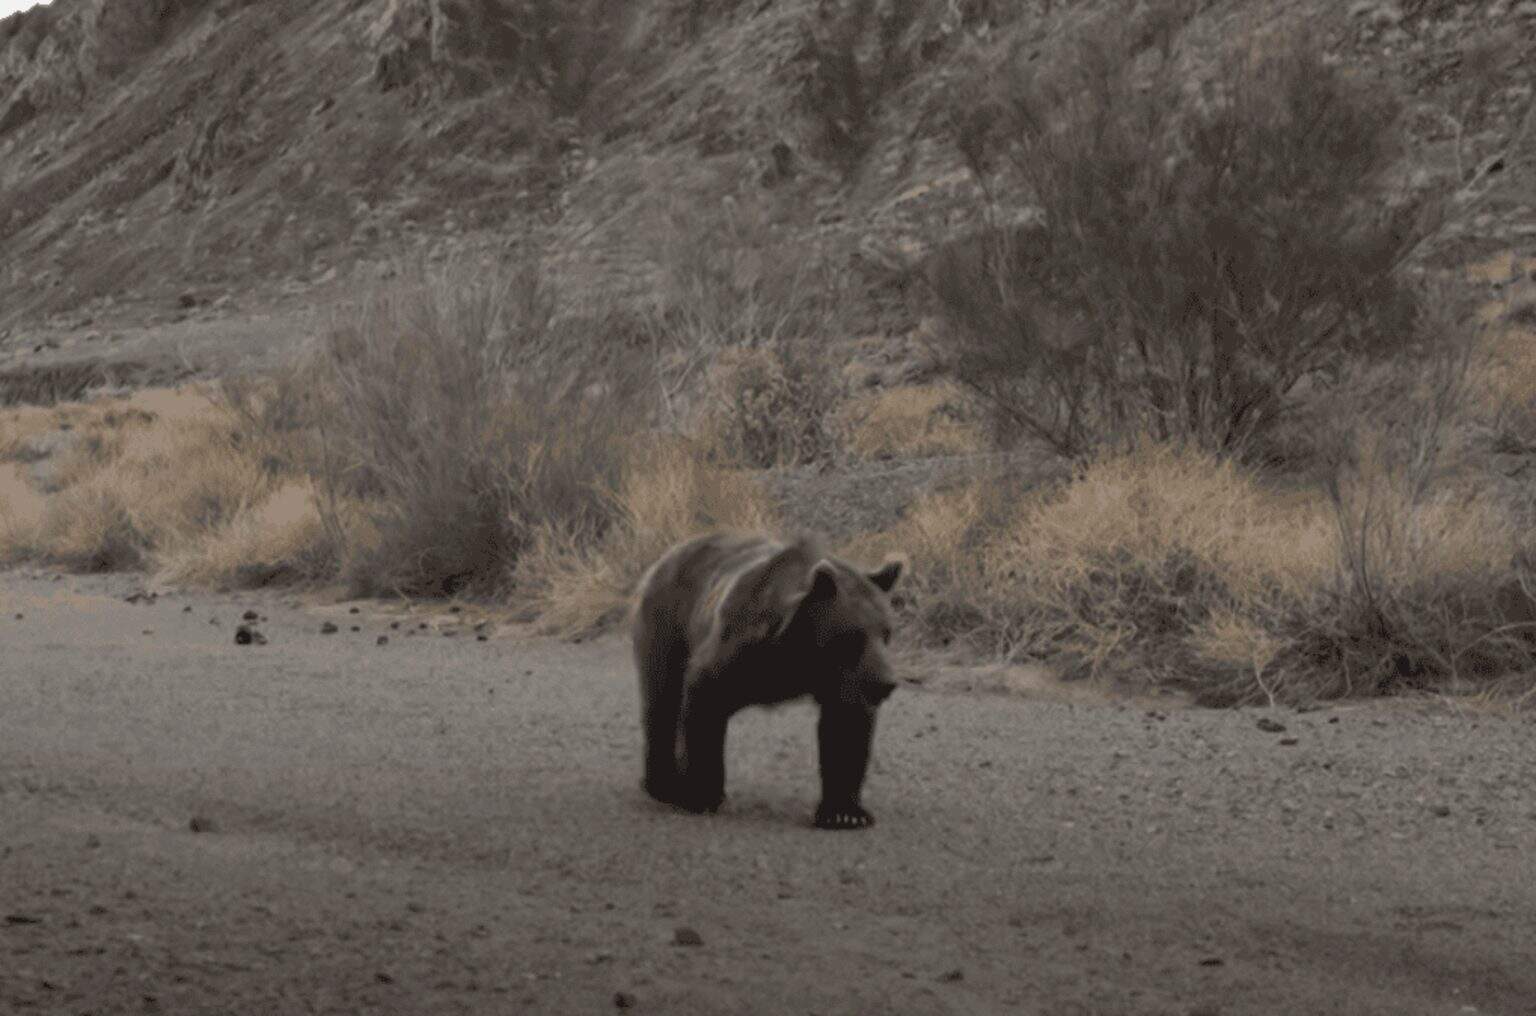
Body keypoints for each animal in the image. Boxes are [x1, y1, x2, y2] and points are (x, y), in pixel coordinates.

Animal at [631, 531, 903, 830]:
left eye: (887, 633)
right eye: (854, 636)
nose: (886, 683)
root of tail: (664, 558)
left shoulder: (842, 681)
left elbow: (847, 726)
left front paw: (846, 813)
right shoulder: (737, 648)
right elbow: (704, 700)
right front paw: (702, 795)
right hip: (668, 624)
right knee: (662, 702)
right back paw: (663, 786)